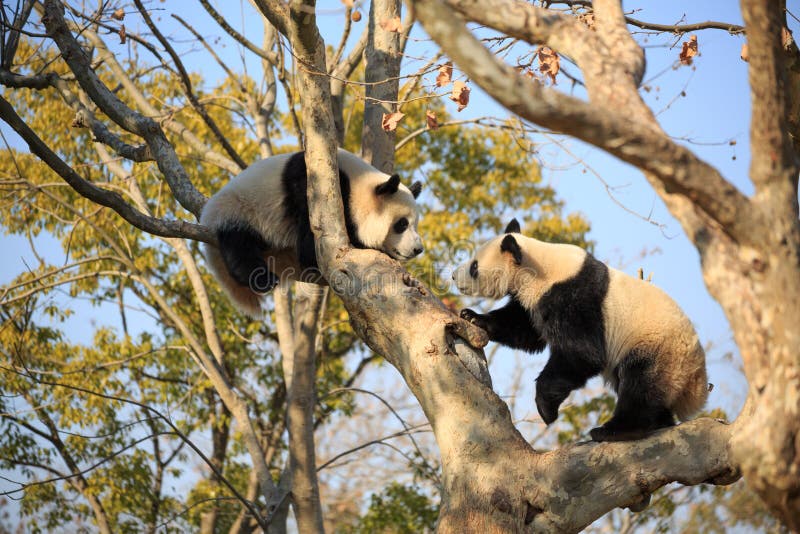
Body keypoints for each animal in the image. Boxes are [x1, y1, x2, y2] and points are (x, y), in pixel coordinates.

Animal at [200, 149, 423, 316]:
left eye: (415, 224)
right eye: (402, 224)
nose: (418, 249)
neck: (357, 182)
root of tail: (208, 214)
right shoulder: (312, 188)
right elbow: (312, 244)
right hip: (240, 210)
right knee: (239, 245)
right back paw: (261, 278)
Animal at [452, 219, 708, 442]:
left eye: (474, 266)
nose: (454, 275)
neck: (540, 266)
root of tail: (696, 379)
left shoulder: (573, 296)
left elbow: (582, 354)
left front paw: (546, 409)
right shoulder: (535, 301)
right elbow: (523, 329)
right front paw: (472, 317)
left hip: (659, 348)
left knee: (641, 385)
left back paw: (615, 430)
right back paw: (659, 423)